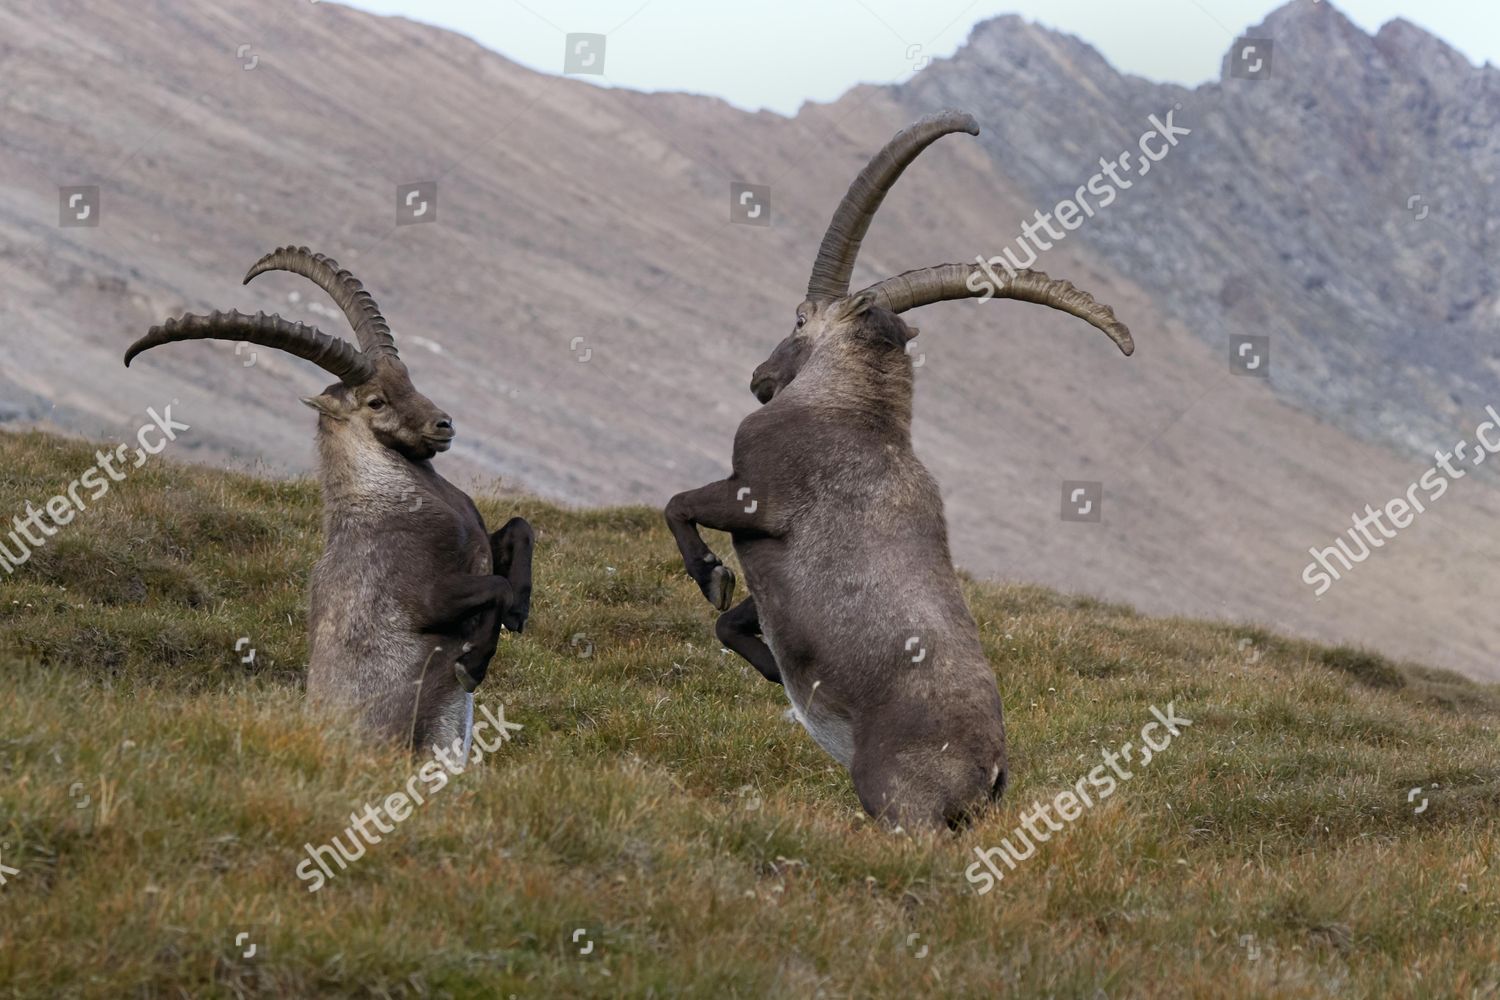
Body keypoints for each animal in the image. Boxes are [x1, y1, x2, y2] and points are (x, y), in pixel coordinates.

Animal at [125, 246, 532, 757]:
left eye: (408, 379)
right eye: (376, 401)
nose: (443, 425)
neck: (384, 496)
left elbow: (519, 528)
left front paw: (521, 610)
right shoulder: (423, 597)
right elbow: (491, 588)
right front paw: (472, 664)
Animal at [665, 111, 1134, 830]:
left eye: (799, 319)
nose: (760, 380)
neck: (854, 413)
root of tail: (988, 776)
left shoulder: (757, 497)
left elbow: (679, 506)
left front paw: (712, 576)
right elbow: (735, 621)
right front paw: (772, 666)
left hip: (894, 796)